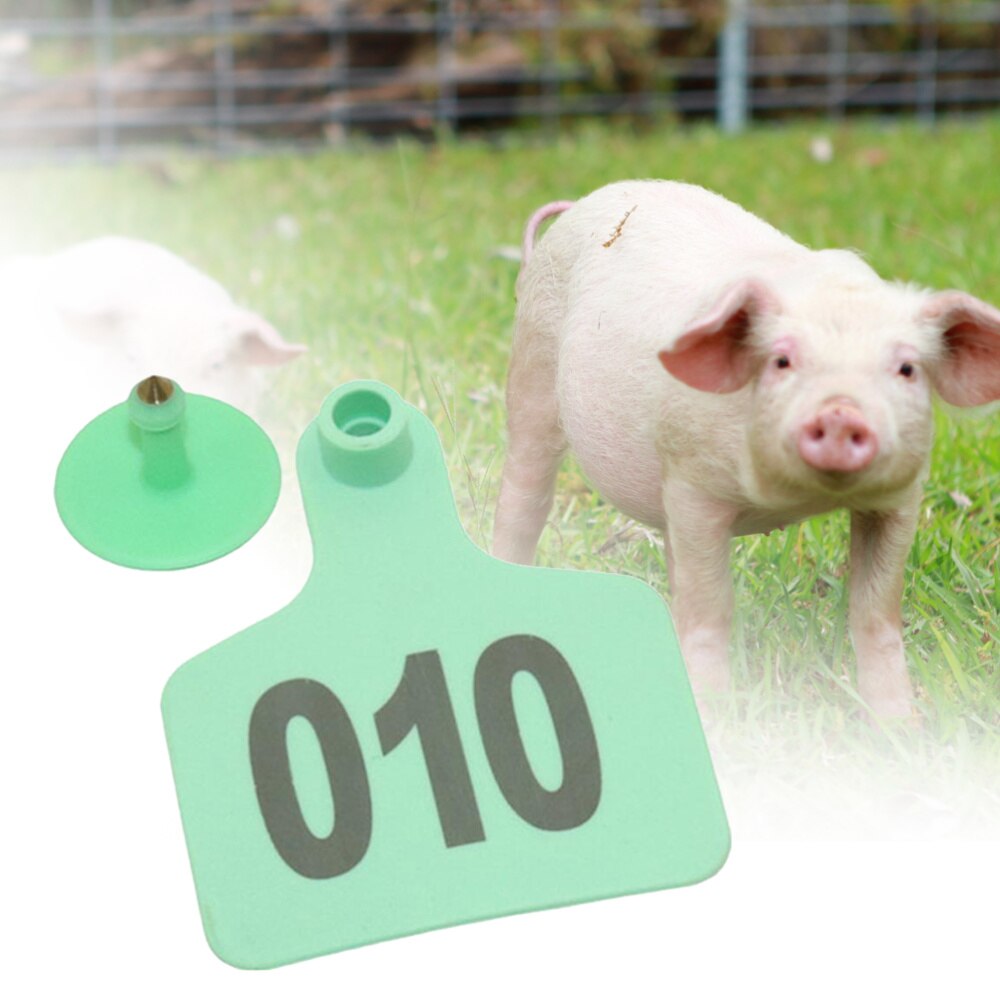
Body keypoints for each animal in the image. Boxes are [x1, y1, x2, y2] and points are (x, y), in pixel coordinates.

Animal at [493, 181, 1000, 718]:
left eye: (906, 369)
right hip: (532, 362)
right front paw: (716, 719)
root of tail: (581, 205)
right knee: (525, 497)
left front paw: (900, 724)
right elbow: (711, 610)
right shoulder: (695, 485)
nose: (841, 411)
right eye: (781, 361)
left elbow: (877, 611)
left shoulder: (900, 497)